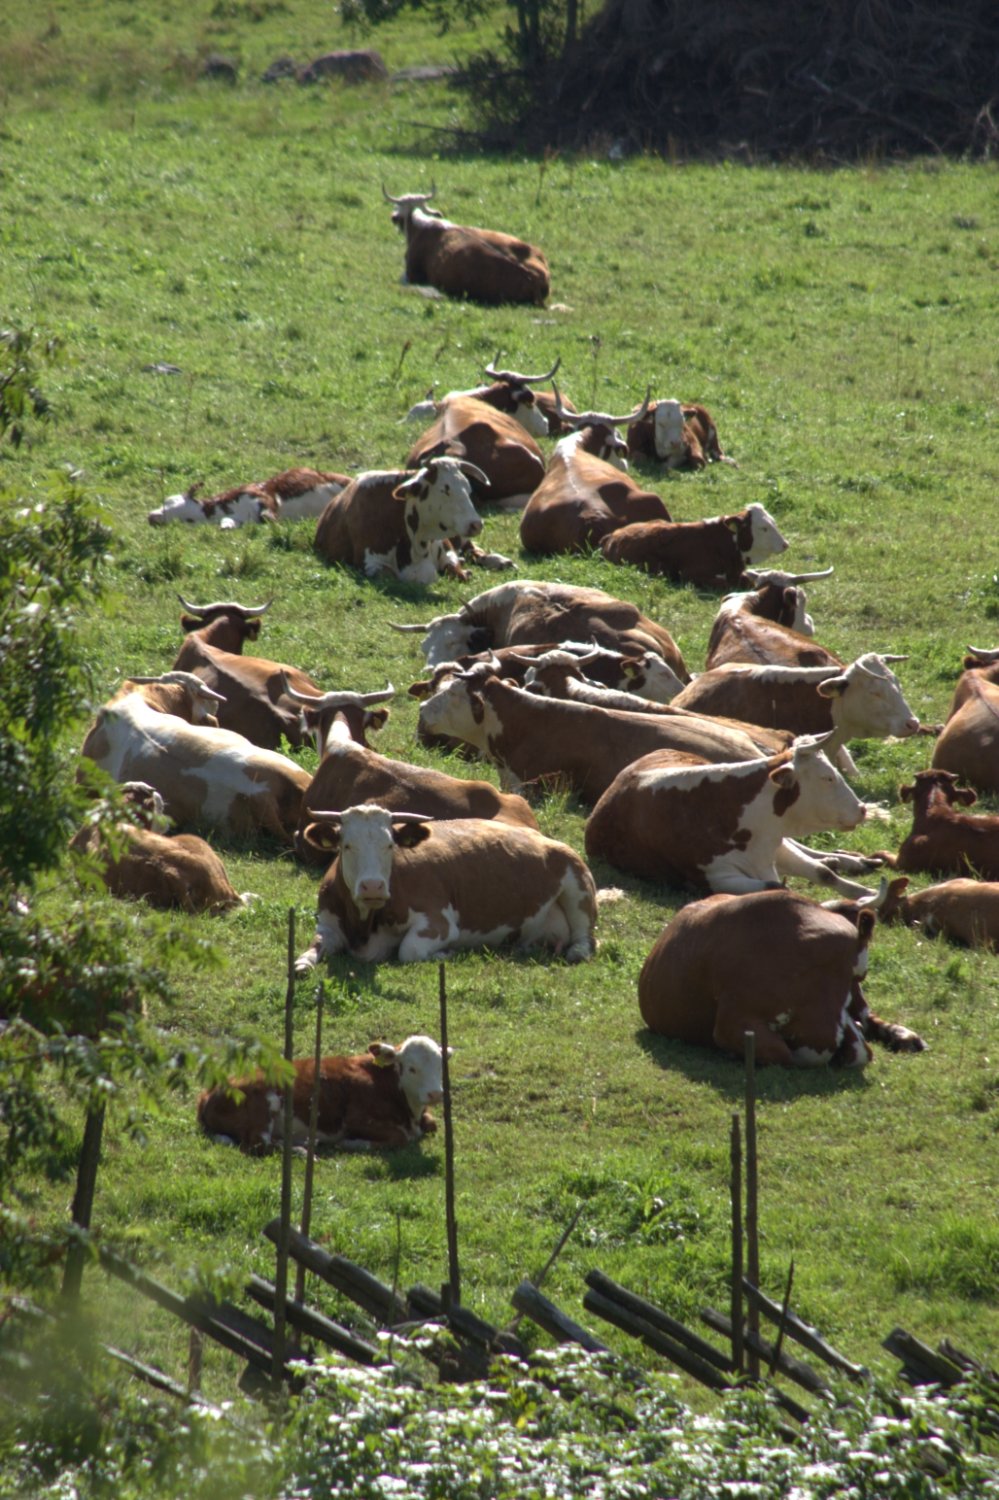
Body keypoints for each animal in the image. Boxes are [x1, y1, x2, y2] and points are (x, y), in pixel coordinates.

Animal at [147, 468, 350, 527]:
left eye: (169, 500)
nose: (151, 516)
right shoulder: (239, 519)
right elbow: (228, 524)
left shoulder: (260, 494)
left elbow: (269, 509)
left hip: (338, 481)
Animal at [197, 1034, 448, 1154]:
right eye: (412, 1068)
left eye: (440, 1065)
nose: (435, 1094)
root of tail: (209, 1091)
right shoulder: (355, 1118)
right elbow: (400, 1137)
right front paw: (352, 1143)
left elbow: (432, 1123)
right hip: (264, 1105)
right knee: (257, 1145)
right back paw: (301, 1150)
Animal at [294, 805, 598, 971]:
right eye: (347, 845)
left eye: (389, 845)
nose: (372, 887)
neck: (365, 924)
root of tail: (543, 838)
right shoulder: (328, 922)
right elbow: (314, 945)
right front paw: (302, 964)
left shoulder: (438, 922)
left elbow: (409, 951)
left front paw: (446, 953)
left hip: (577, 883)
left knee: (585, 936)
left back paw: (576, 951)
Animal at [313, 456, 491, 583]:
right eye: (445, 490)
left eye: (468, 489)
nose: (476, 524)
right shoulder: (369, 563)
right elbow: (388, 575)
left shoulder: (447, 551)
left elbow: (457, 570)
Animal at [584, 733, 881, 899]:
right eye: (827, 777)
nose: (862, 809)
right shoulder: (718, 877)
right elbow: (777, 886)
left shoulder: (774, 845)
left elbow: (822, 873)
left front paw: (866, 893)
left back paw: (849, 860)